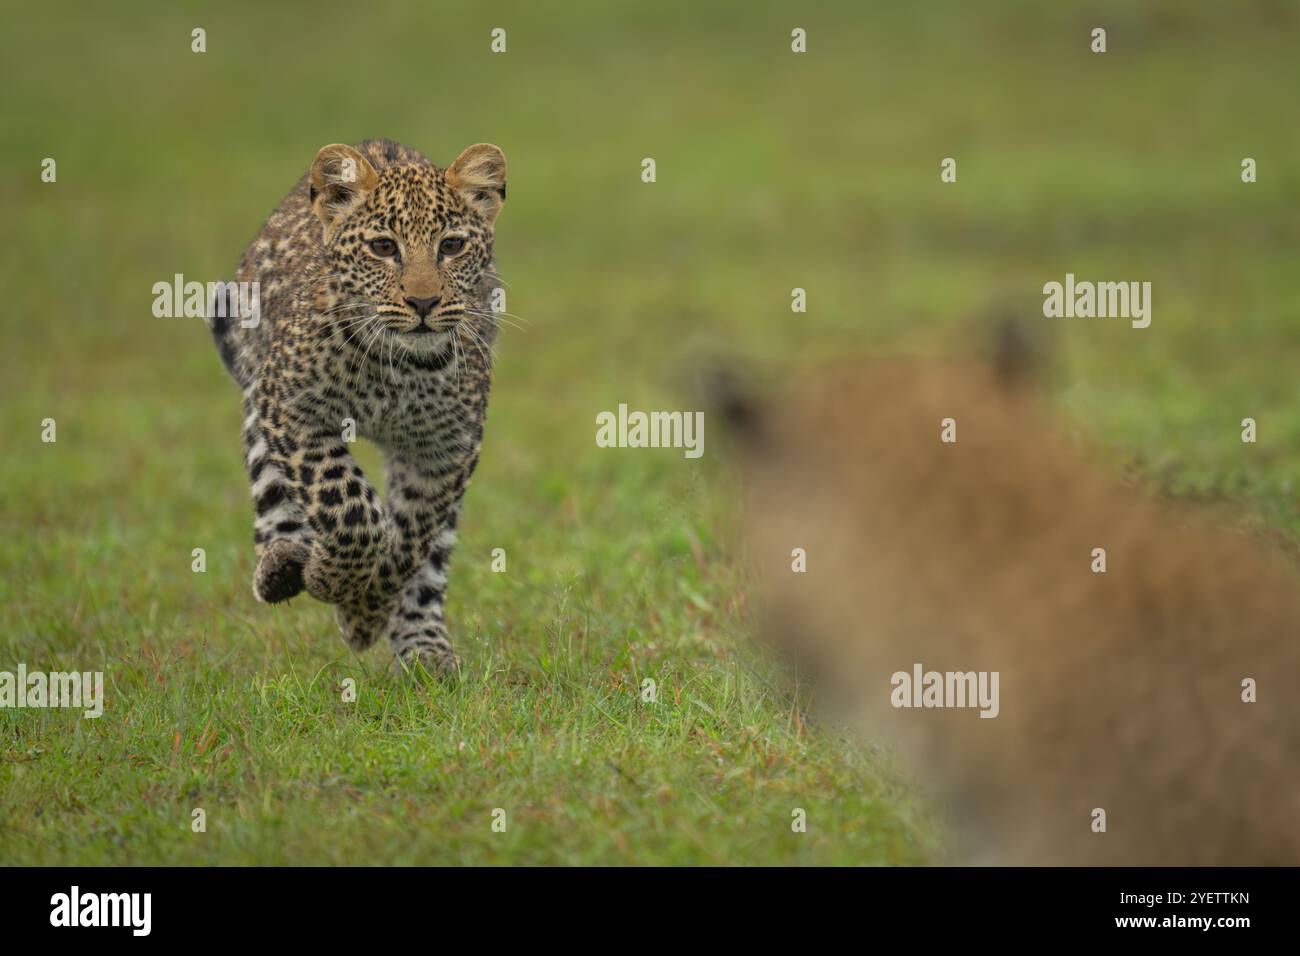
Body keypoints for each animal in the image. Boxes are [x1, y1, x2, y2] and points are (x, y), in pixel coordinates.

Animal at [206, 138, 507, 675]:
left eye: (451, 246)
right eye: (383, 248)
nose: (424, 303)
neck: (403, 367)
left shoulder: (446, 451)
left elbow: (409, 540)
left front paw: (363, 611)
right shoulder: (293, 410)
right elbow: (349, 508)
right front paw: (332, 579)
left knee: (432, 559)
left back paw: (424, 647)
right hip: (259, 385)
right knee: (267, 473)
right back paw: (282, 561)